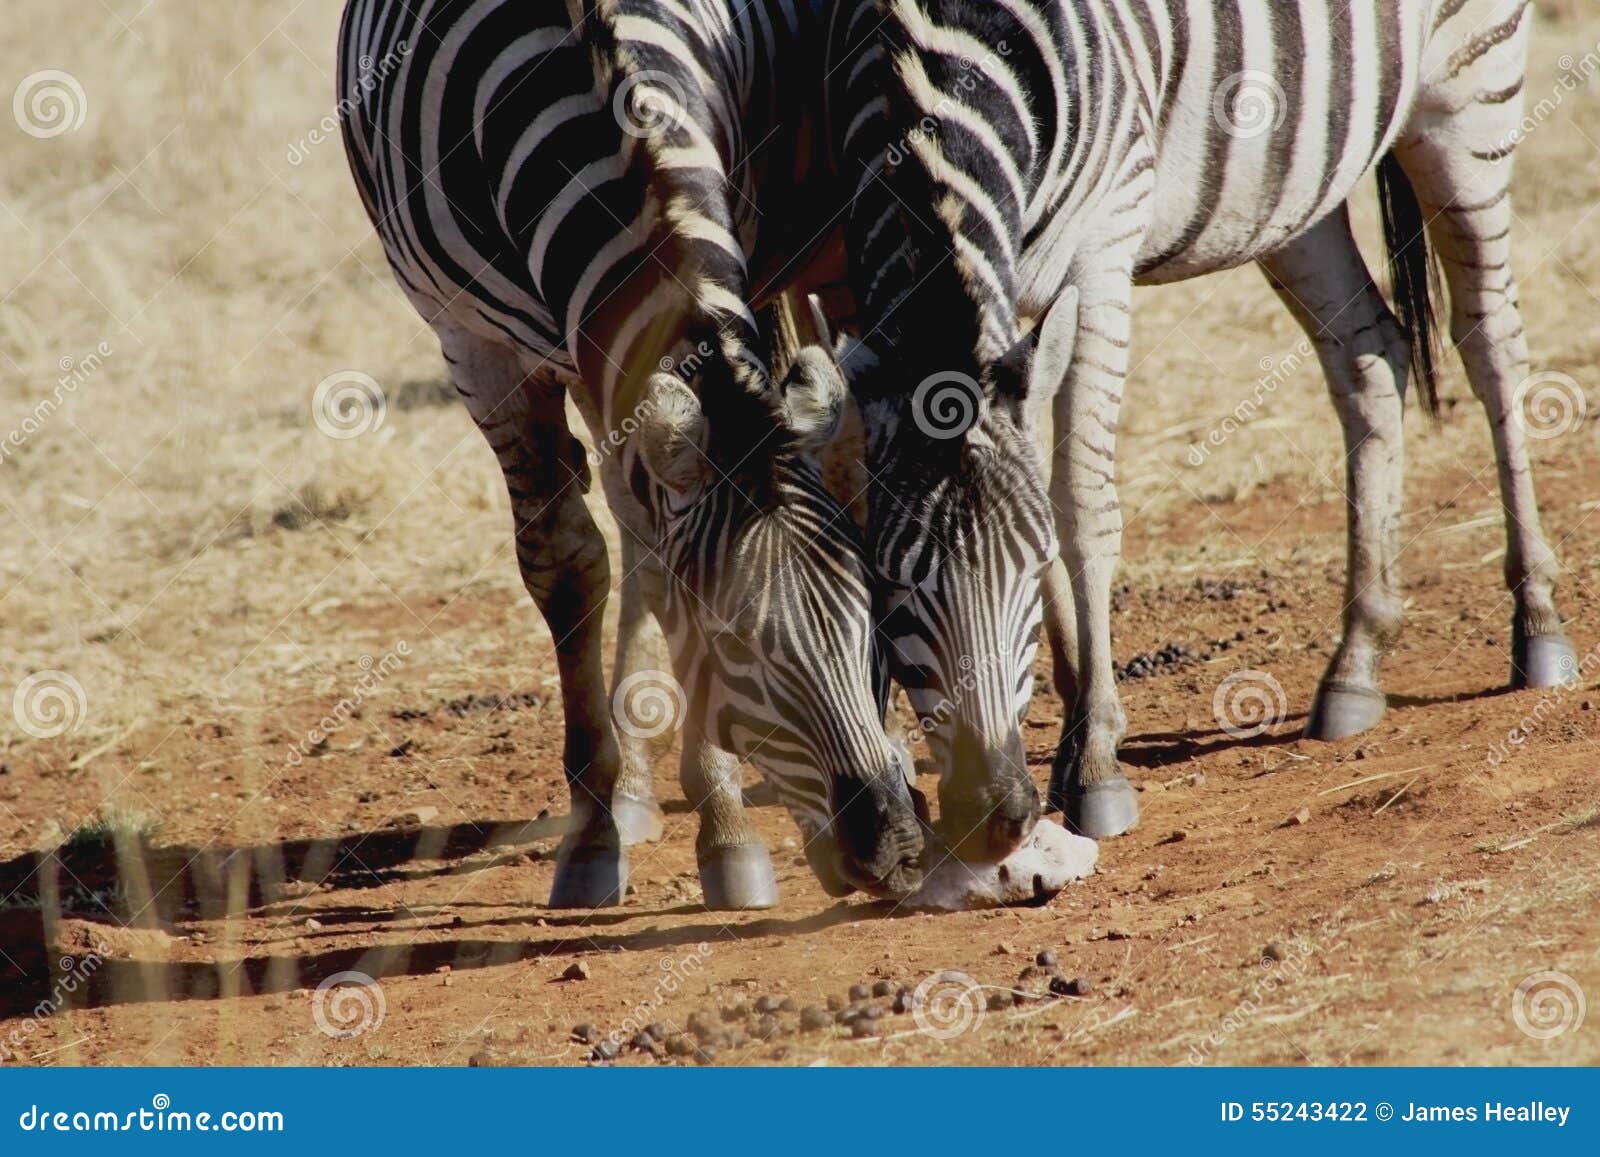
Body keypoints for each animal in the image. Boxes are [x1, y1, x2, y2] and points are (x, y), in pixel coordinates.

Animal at [337, 0, 930, 907]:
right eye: (731, 643)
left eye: (876, 607)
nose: (894, 850)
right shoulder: (476, 345)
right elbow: (567, 564)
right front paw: (593, 828)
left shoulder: (730, 246)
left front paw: (724, 824)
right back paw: (632, 791)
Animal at [825, 0, 1579, 841]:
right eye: (891, 584)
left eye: (1024, 567)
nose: (991, 813)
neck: (931, 61)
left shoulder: (1103, 246)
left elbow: (1081, 503)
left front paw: (1096, 761)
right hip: (1291, 178)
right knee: (1370, 355)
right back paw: (1357, 660)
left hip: (1468, 99)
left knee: (1491, 344)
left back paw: (1538, 620)